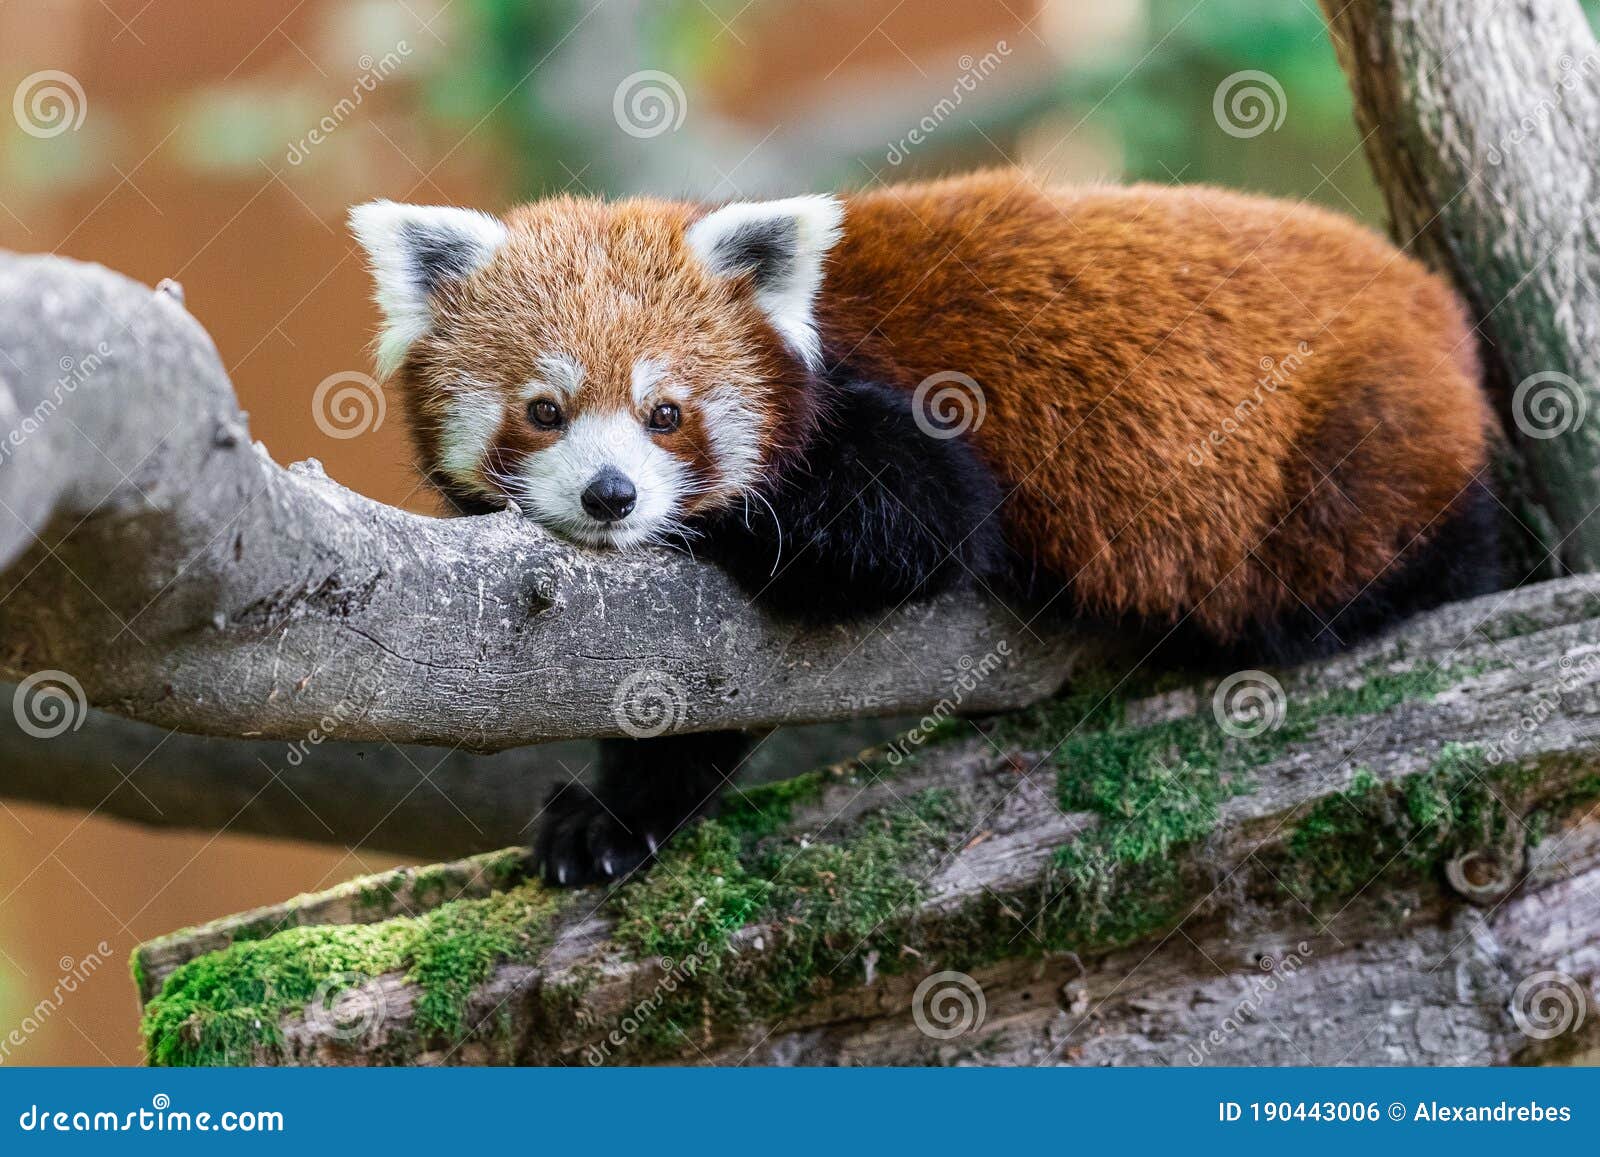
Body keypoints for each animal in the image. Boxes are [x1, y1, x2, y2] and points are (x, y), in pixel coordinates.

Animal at [350, 169, 1498, 885]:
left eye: (665, 413)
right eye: (544, 409)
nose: (610, 496)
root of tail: (1433, 307)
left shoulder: (898, 423)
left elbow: (914, 529)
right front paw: (612, 818)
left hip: (1354, 442)